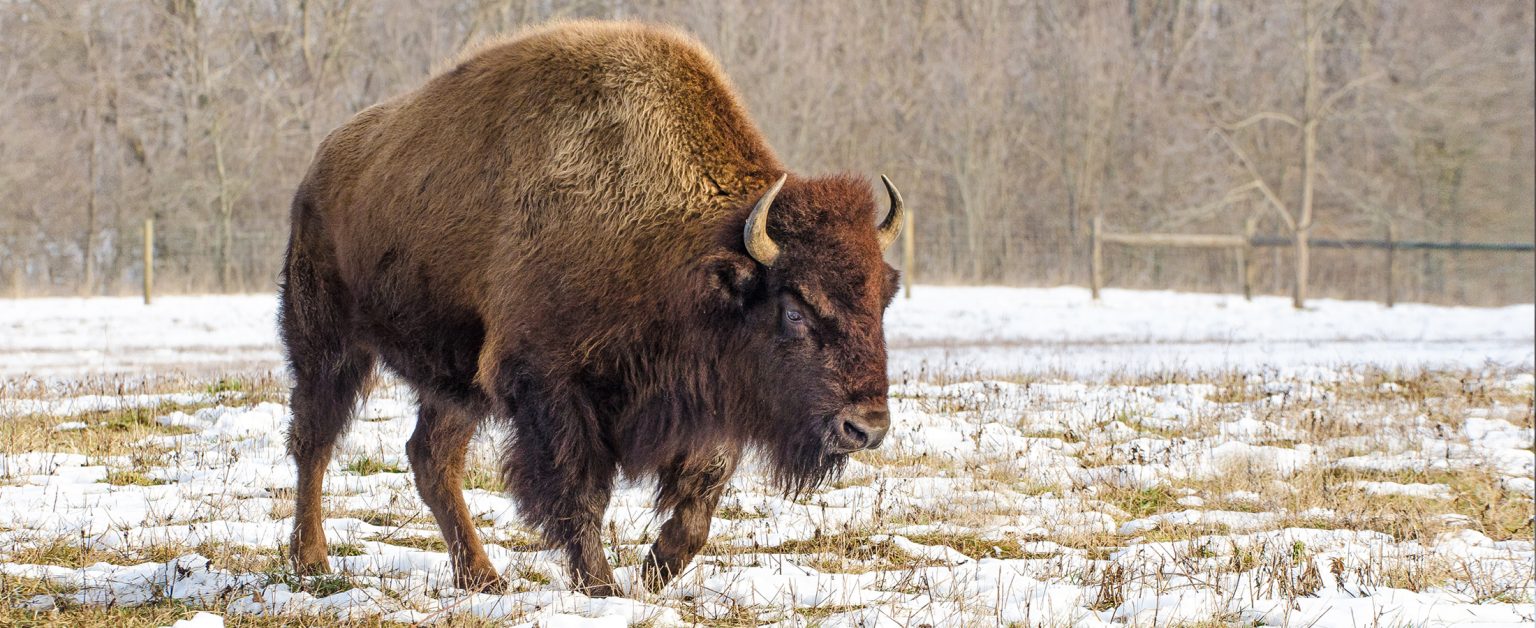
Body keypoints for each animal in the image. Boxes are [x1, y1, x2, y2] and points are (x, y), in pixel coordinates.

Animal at [280, 20, 904, 596]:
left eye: (881, 301)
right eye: (795, 309)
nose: (866, 427)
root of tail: (319, 170)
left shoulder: (707, 388)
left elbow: (704, 486)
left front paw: (656, 570)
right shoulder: (550, 386)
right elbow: (579, 491)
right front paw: (601, 587)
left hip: (457, 378)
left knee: (430, 457)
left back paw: (481, 578)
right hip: (327, 343)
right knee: (315, 443)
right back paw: (312, 561)